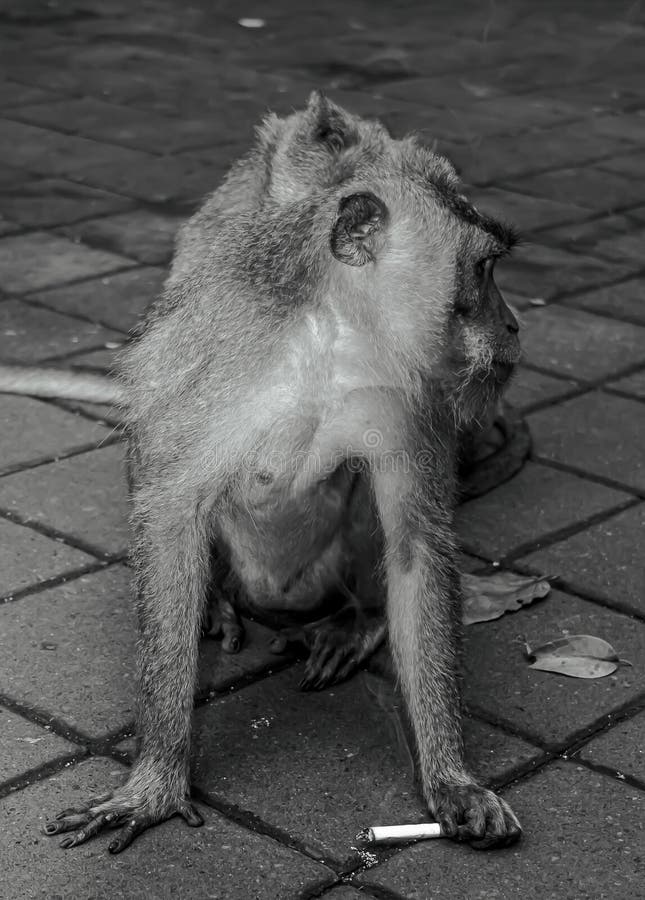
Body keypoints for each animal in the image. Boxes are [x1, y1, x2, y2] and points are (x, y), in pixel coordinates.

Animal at [34, 93, 524, 857]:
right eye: (482, 271)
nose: (513, 326)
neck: (325, 333)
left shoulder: (407, 397)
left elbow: (415, 541)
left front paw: (451, 779)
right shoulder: (205, 358)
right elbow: (169, 510)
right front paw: (157, 779)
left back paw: (354, 623)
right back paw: (220, 606)